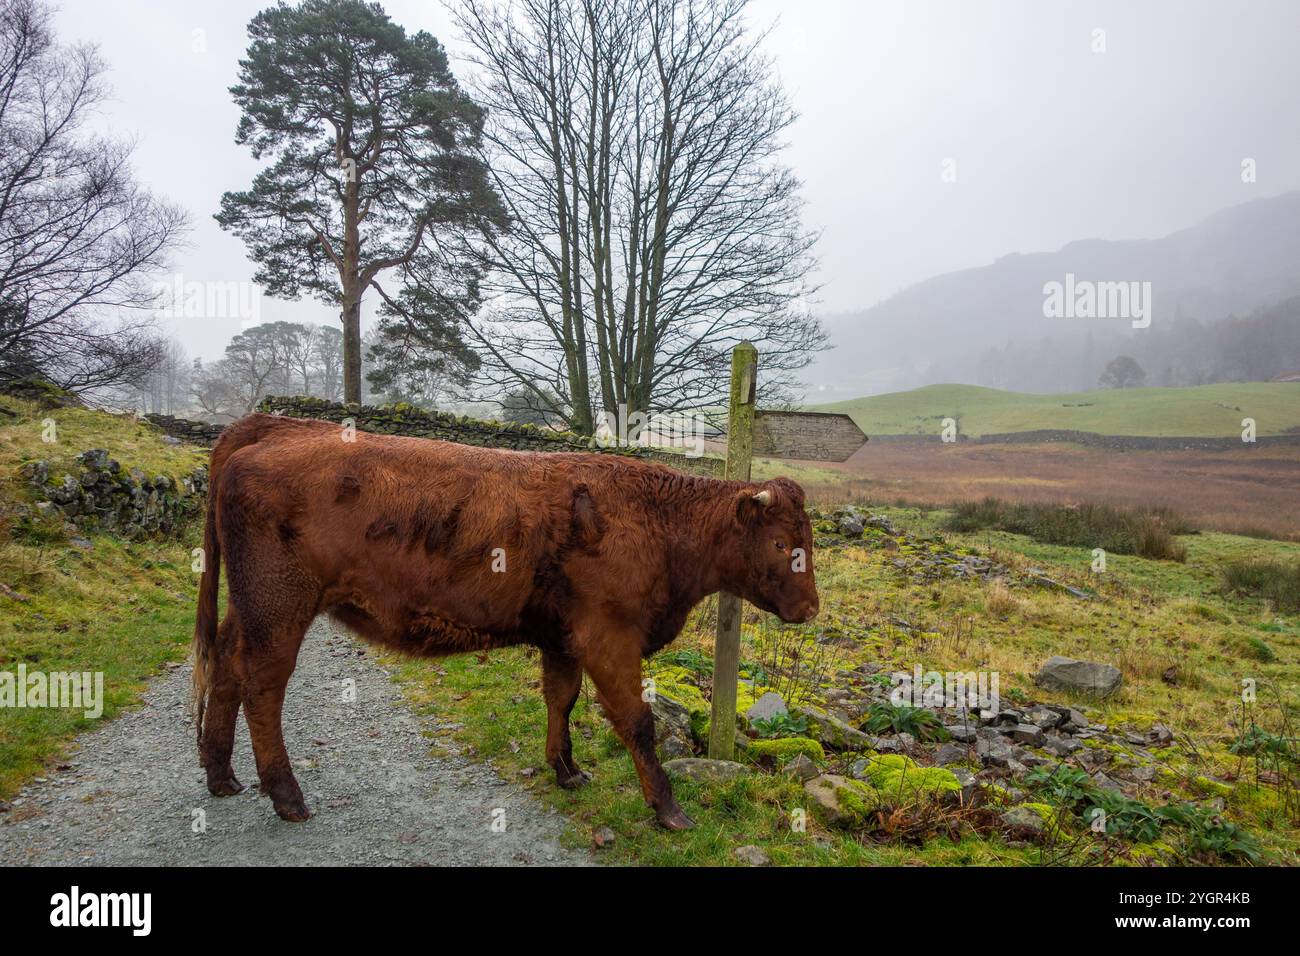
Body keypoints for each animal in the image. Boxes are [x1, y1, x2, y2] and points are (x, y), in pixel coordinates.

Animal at [193, 413, 819, 830]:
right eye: (780, 542)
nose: (811, 608)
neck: (655, 522)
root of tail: (273, 427)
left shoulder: (563, 637)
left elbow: (561, 698)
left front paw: (566, 770)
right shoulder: (610, 637)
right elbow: (637, 723)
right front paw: (667, 808)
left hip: (248, 609)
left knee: (224, 668)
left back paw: (220, 775)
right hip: (279, 608)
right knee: (263, 687)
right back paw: (286, 795)